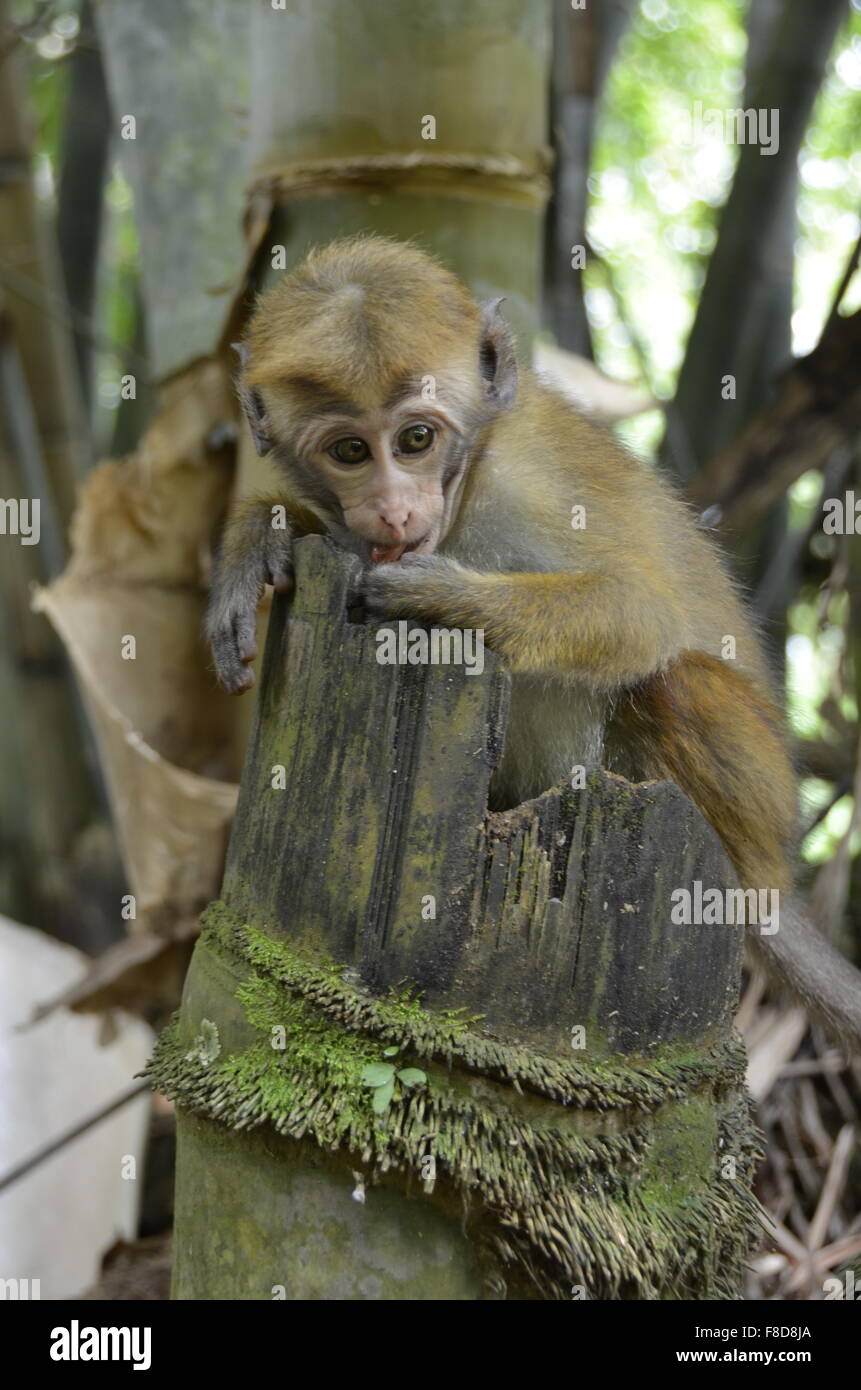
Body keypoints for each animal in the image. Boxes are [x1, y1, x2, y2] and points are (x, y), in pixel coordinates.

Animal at [206, 234, 861, 1050]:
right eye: (350, 451)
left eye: (416, 439)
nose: (392, 511)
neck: (466, 484)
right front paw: (253, 544)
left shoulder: (526, 486)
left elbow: (641, 611)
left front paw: (442, 596)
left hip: (760, 822)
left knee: (673, 681)